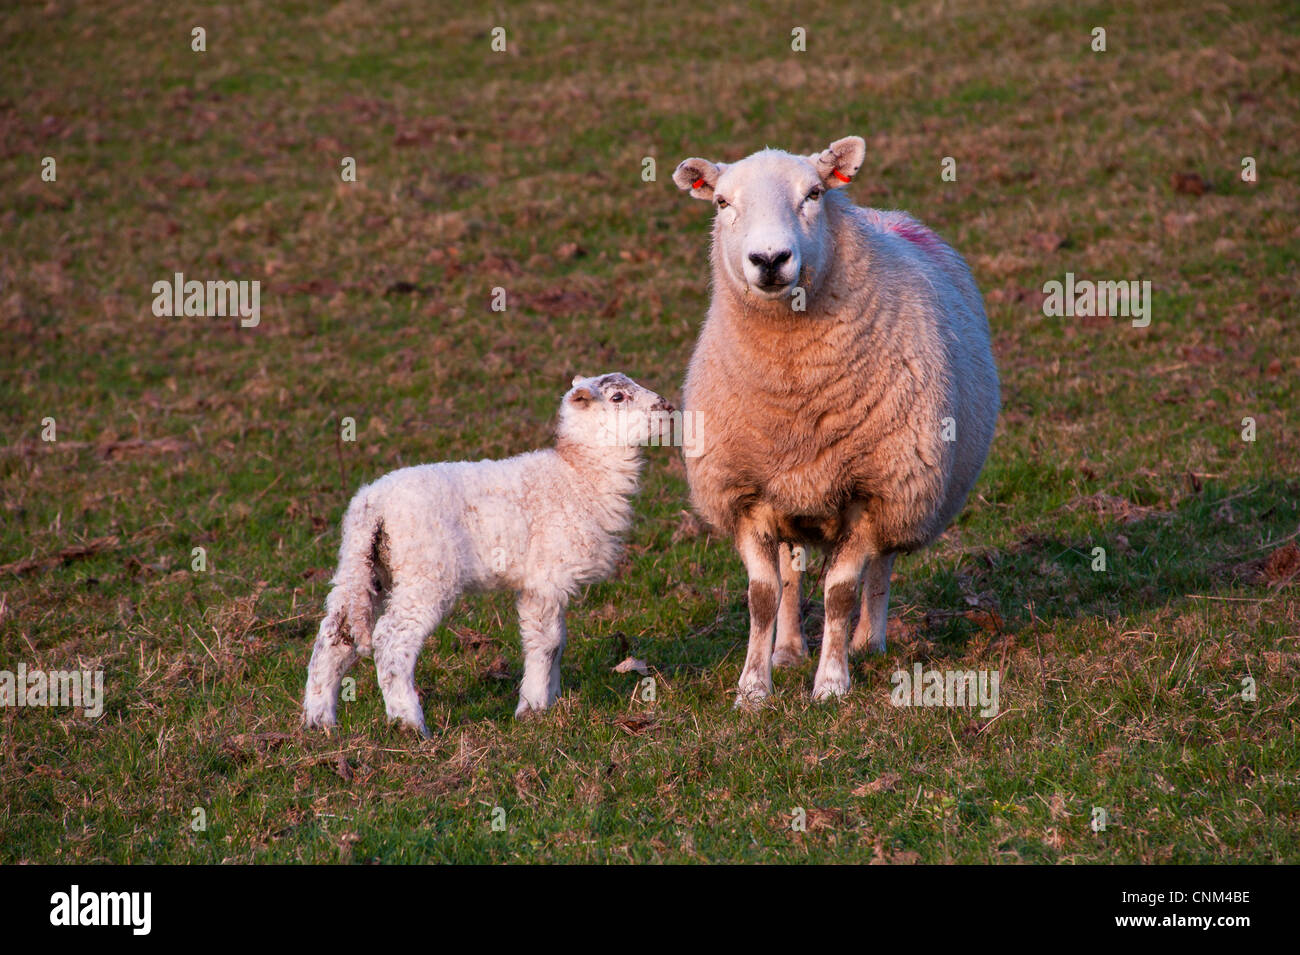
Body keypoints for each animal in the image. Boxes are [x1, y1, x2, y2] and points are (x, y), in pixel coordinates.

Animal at [302, 373, 672, 736]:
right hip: (425, 572)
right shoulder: (544, 578)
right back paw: (410, 723)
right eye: (618, 397)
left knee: (335, 635)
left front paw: (551, 702)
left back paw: (319, 722)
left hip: (364, 567)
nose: (668, 408)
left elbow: (559, 642)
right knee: (391, 640)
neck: (577, 473)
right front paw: (532, 709)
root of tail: (372, 505)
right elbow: (547, 643)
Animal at [671, 136, 999, 706]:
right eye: (722, 202)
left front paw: (830, 683)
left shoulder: (874, 489)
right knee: (790, 573)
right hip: (793, 497)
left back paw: (868, 642)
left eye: (814, 194)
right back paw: (787, 649)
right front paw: (753, 689)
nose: (770, 259)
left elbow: (842, 594)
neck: (793, 386)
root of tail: (885, 214)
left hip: (905, 489)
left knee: (881, 565)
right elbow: (762, 595)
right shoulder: (748, 494)